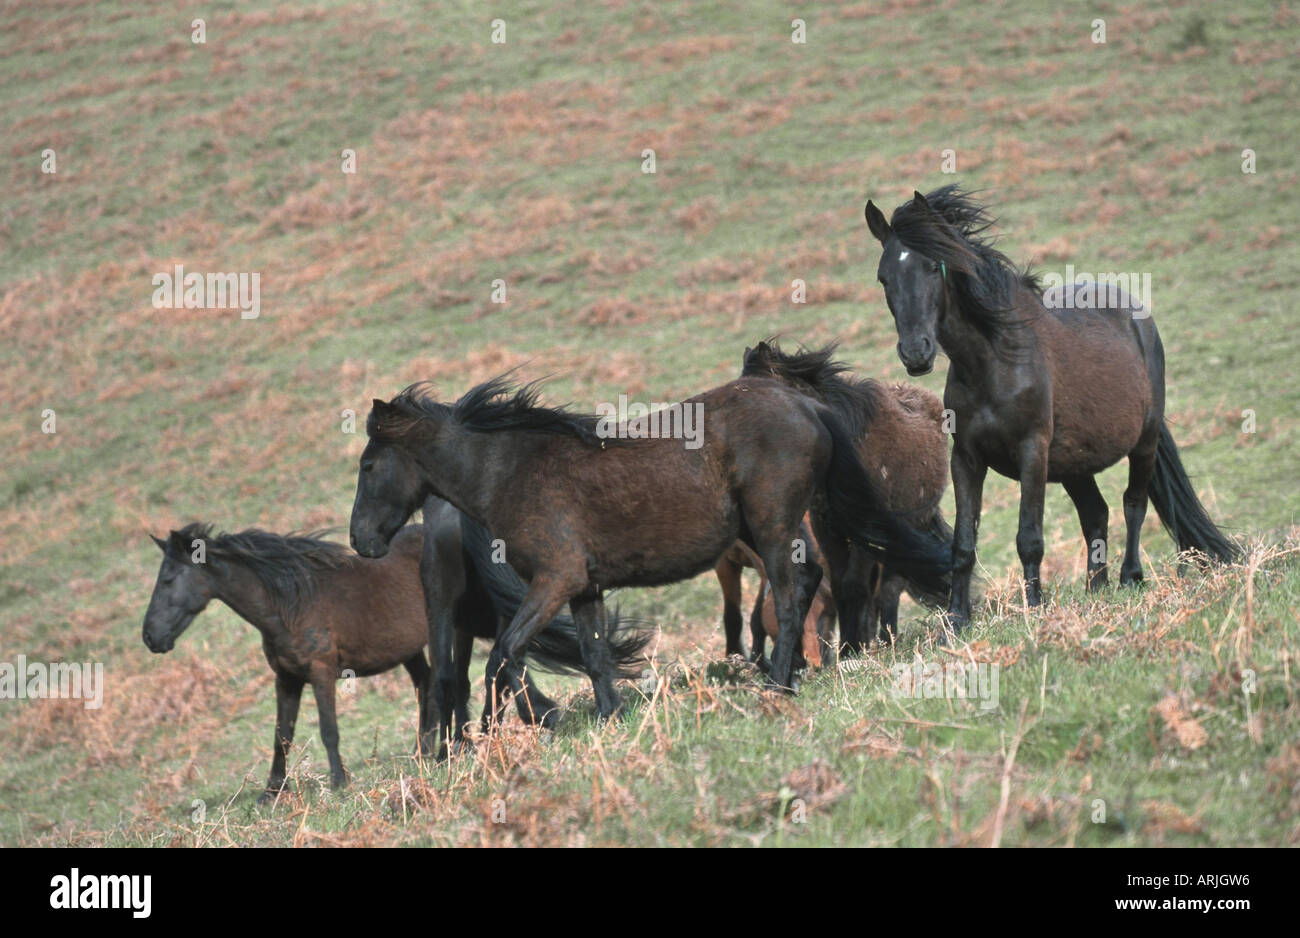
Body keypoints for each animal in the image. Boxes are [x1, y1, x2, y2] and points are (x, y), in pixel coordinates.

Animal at [142, 516, 647, 800]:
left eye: (167, 579)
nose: (150, 637)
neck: (290, 600)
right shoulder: (286, 679)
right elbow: (281, 737)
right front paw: (271, 793)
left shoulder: (322, 674)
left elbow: (327, 731)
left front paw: (339, 784)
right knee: (448, 685)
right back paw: (446, 747)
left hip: (476, 624)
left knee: (488, 674)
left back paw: (491, 732)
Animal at [348, 372, 953, 741]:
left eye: (369, 465)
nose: (361, 541)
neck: (512, 469)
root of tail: (804, 402)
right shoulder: (583, 587)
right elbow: (593, 656)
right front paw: (609, 718)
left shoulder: (553, 581)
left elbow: (504, 655)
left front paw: (518, 728)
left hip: (773, 527)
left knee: (789, 594)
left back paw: (778, 684)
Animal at [740, 340, 954, 650]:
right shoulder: (828, 530)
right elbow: (842, 586)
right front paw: (851, 648)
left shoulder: (867, 531)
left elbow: (855, 586)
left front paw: (853, 647)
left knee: (890, 586)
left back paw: (887, 639)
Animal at [864, 185, 1241, 630]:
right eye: (884, 277)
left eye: (931, 266)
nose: (915, 353)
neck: (993, 360)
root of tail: (1136, 316)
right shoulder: (966, 459)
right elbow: (963, 543)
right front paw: (957, 619)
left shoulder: (1033, 451)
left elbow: (1029, 537)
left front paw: (1034, 607)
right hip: (1075, 464)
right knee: (1096, 513)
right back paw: (1096, 588)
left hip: (1143, 443)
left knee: (1133, 502)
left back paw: (1130, 577)